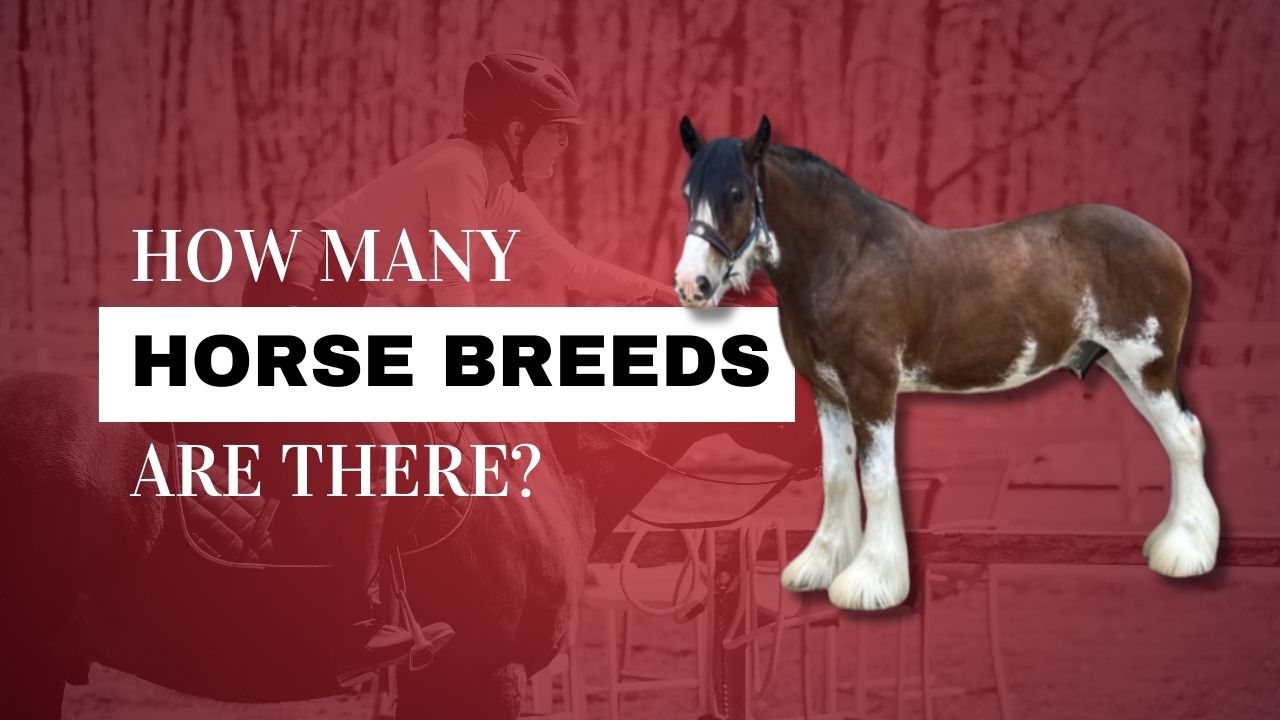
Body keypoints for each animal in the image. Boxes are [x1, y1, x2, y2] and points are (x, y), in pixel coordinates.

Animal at [672, 115, 1220, 611]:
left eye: (738, 193)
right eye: (686, 193)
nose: (692, 284)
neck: (845, 259)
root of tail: (1168, 243)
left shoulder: (873, 390)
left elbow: (876, 478)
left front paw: (870, 583)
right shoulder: (827, 393)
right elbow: (837, 475)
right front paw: (820, 567)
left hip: (1147, 365)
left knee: (1185, 437)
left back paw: (1186, 553)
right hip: (1124, 369)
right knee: (1175, 441)